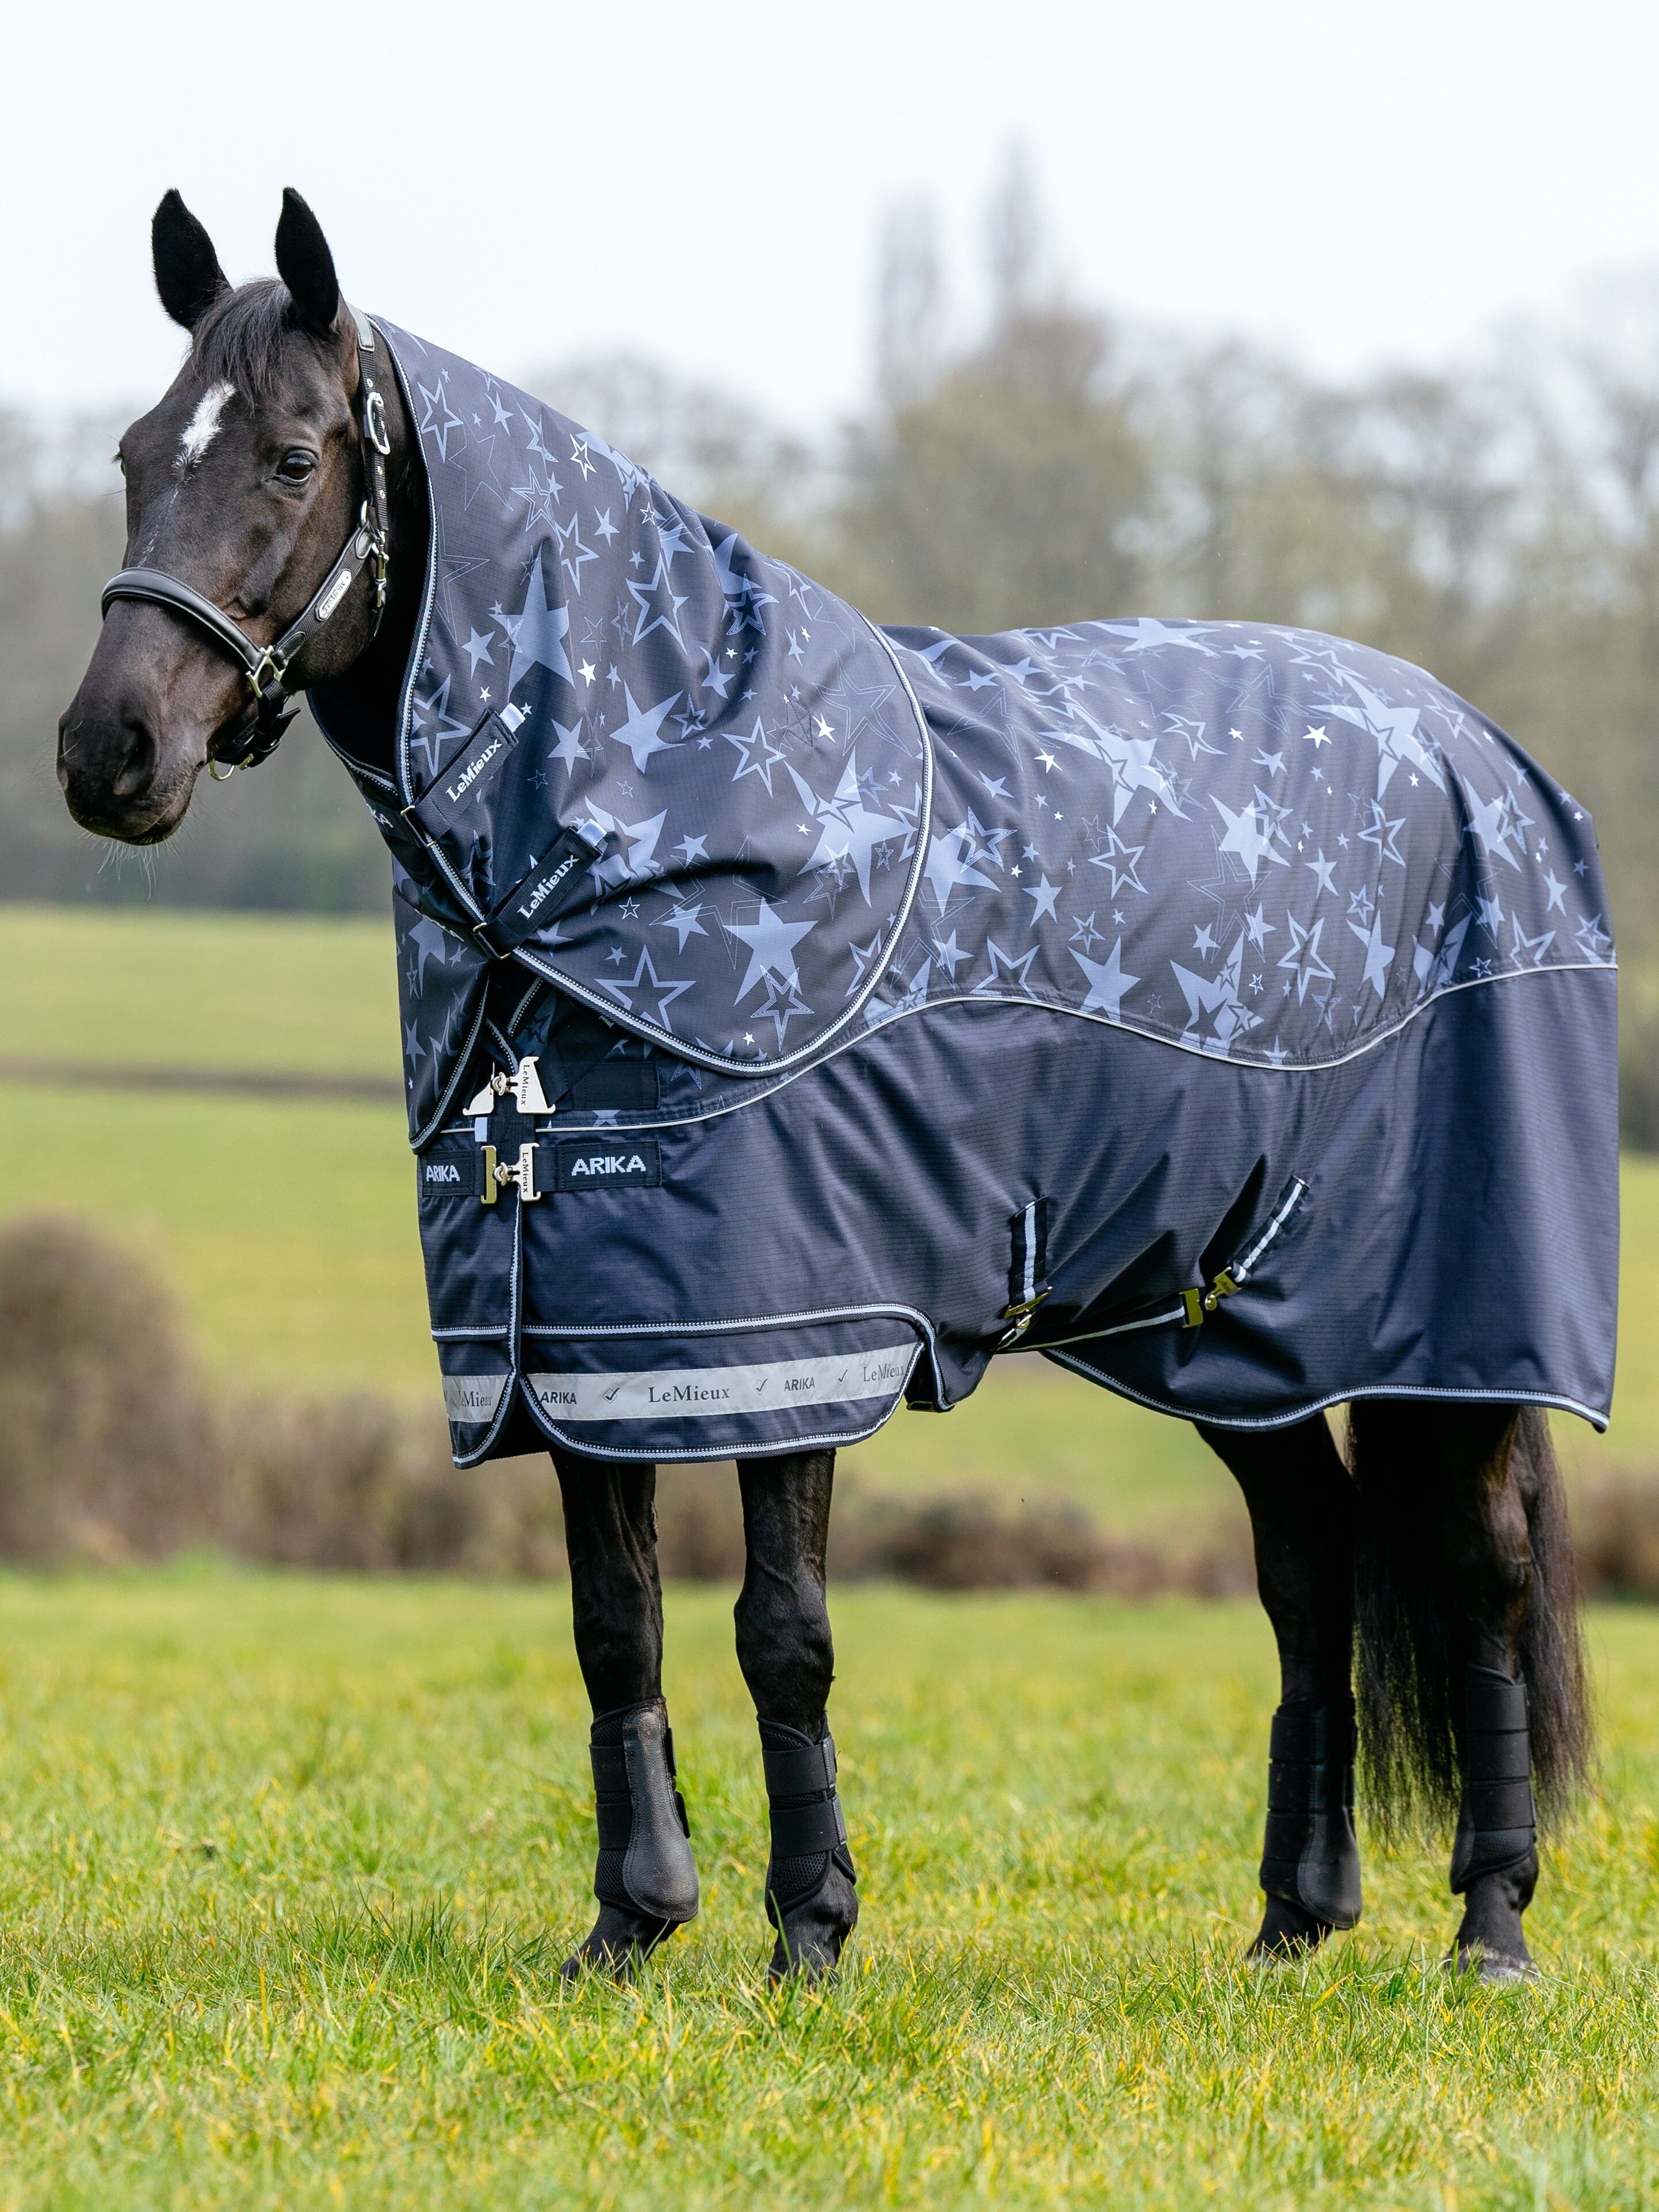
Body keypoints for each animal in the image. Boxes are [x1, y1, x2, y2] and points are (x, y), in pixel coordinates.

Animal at [58, 188, 1611, 1985]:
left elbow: (780, 1632)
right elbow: (616, 1626)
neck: (634, 845)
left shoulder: (797, 1333)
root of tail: (1487, 760)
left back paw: (1488, 1924)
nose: (106, 754)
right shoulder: (582, 1338)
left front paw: (808, 1930)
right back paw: (1293, 1919)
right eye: (136, 450)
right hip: (1233, 1334)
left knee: (1486, 1572)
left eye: (296, 456)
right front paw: (629, 1924)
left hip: (1455, 1319)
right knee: (1312, 1566)